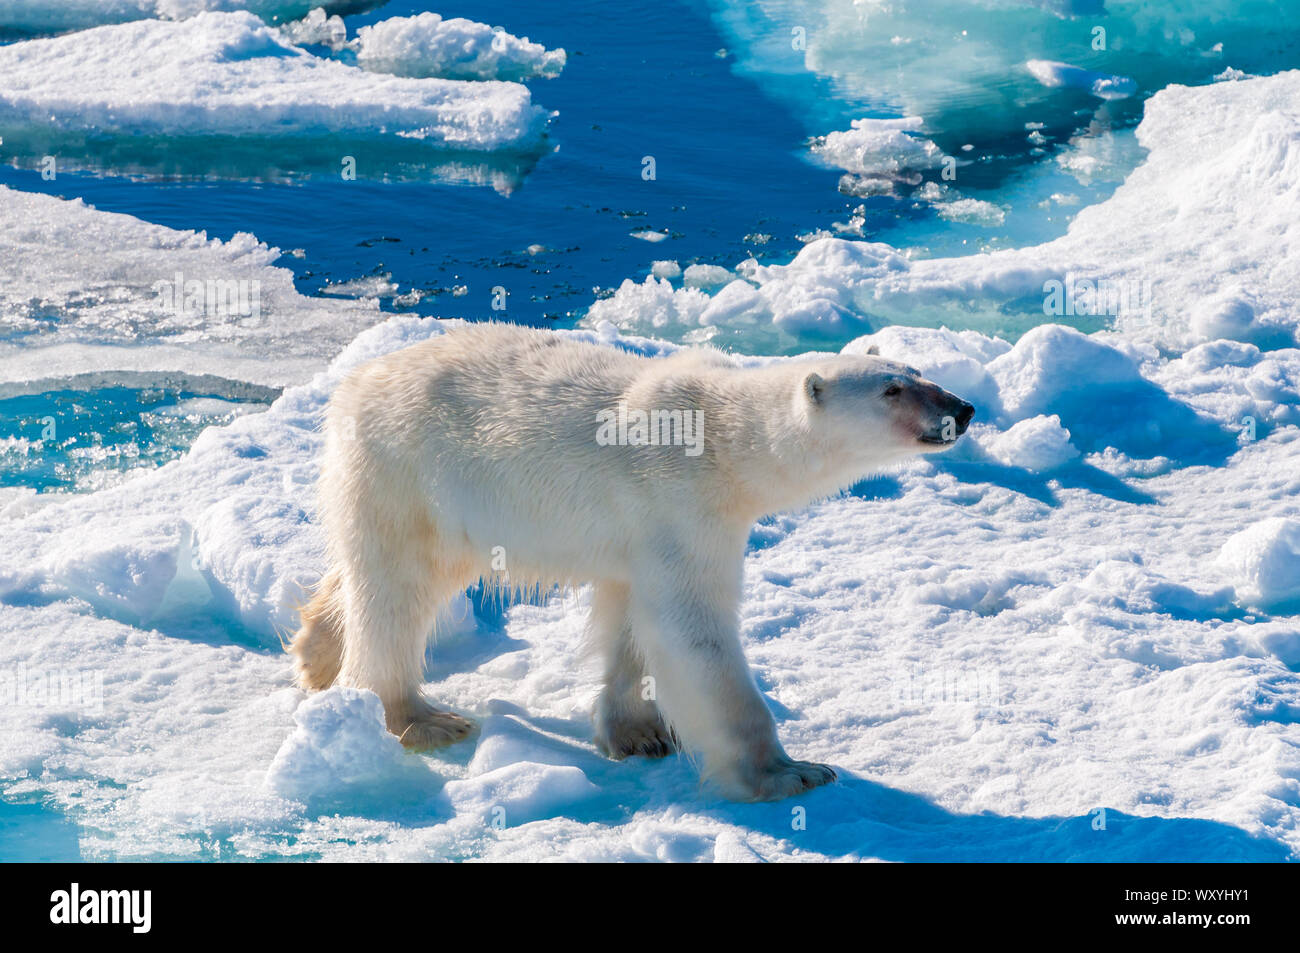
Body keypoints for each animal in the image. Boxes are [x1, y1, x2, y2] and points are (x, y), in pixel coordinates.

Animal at [290, 322, 973, 801]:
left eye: (917, 369)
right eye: (891, 389)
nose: (961, 409)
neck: (723, 439)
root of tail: (355, 379)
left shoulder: (645, 534)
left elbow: (632, 618)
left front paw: (639, 734)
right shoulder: (683, 504)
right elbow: (692, 632)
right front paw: (791, 772)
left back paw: (317, 654)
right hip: (408, 466)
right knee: (397, 590)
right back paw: (418, 719)